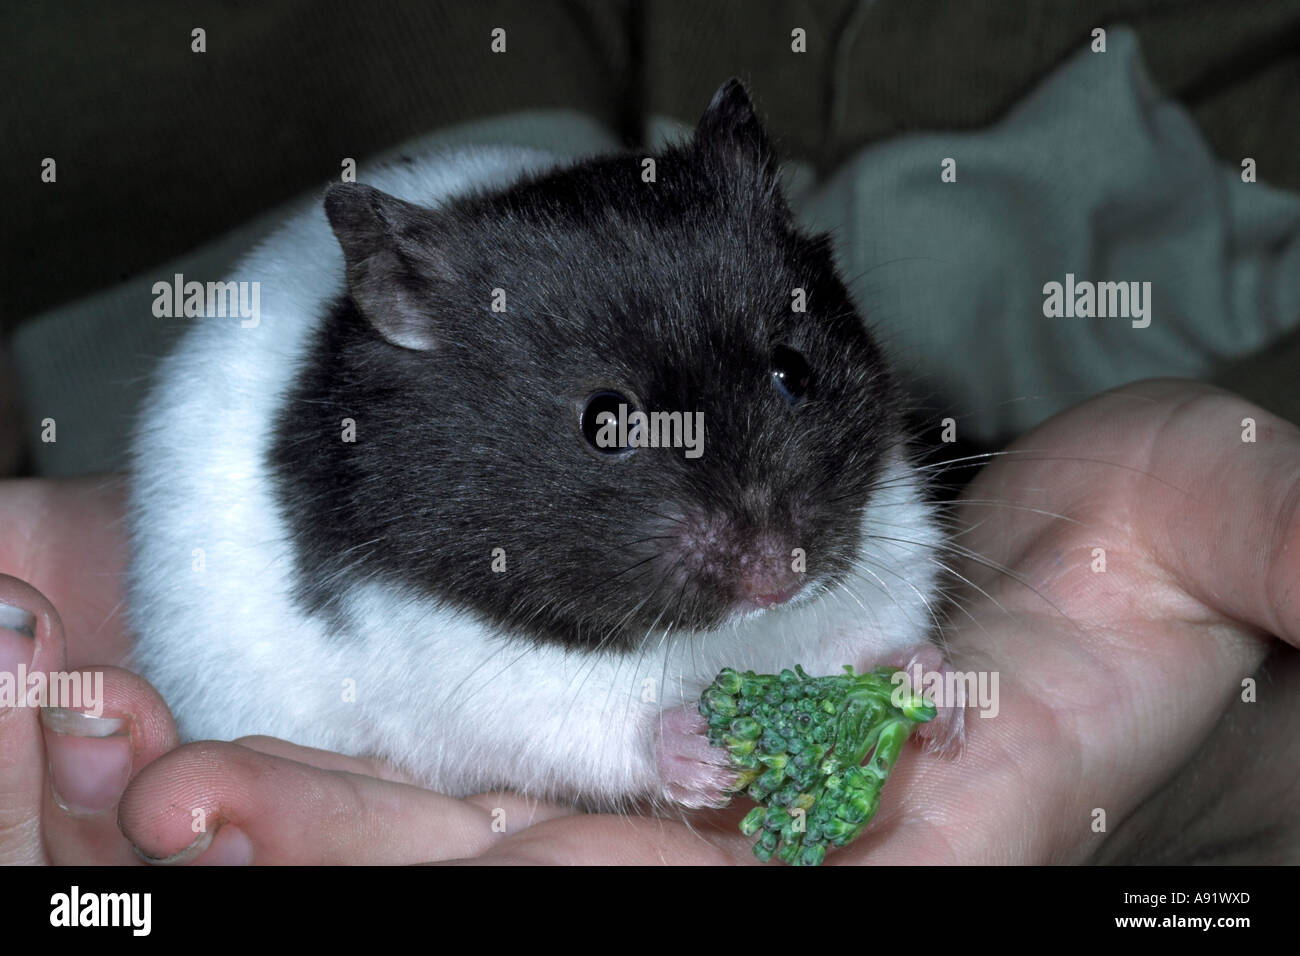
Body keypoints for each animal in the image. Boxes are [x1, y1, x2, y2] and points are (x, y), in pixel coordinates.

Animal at [126, 80, 948, 809]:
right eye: (605, 422)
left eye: (795, 371)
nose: (779, 578)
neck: (731, 638)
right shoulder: (451, 657)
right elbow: (589, 723)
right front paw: (701, 755)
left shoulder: (892, 530)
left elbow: (882, 628)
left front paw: (932, 686)